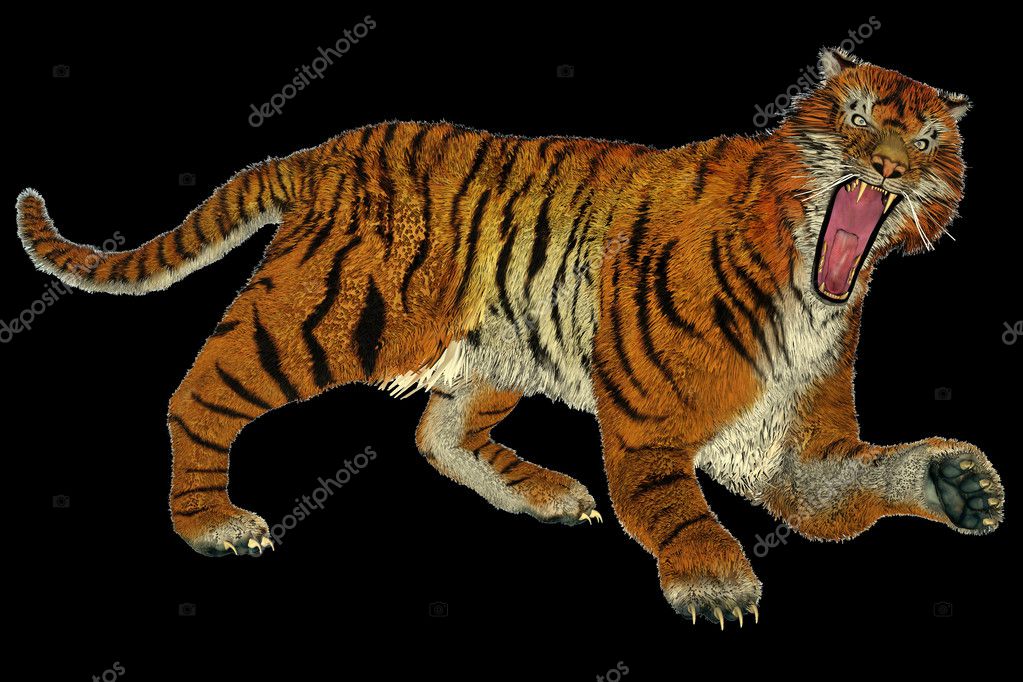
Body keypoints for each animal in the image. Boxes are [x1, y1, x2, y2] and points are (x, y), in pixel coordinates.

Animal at [15, 47, 1002, 628]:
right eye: (858, 119)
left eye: (925, 138)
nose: (889, 167)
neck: (813, 286)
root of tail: (321, 151)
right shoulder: (651, 425)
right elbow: (672, 503)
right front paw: (714, 581)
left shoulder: (786, 444)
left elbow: (855, 484)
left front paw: (957, 485)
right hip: (324, 322)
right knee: (197, 394)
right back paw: (213, 525)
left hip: (495, 352)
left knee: (436, 432)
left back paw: (548, 494)